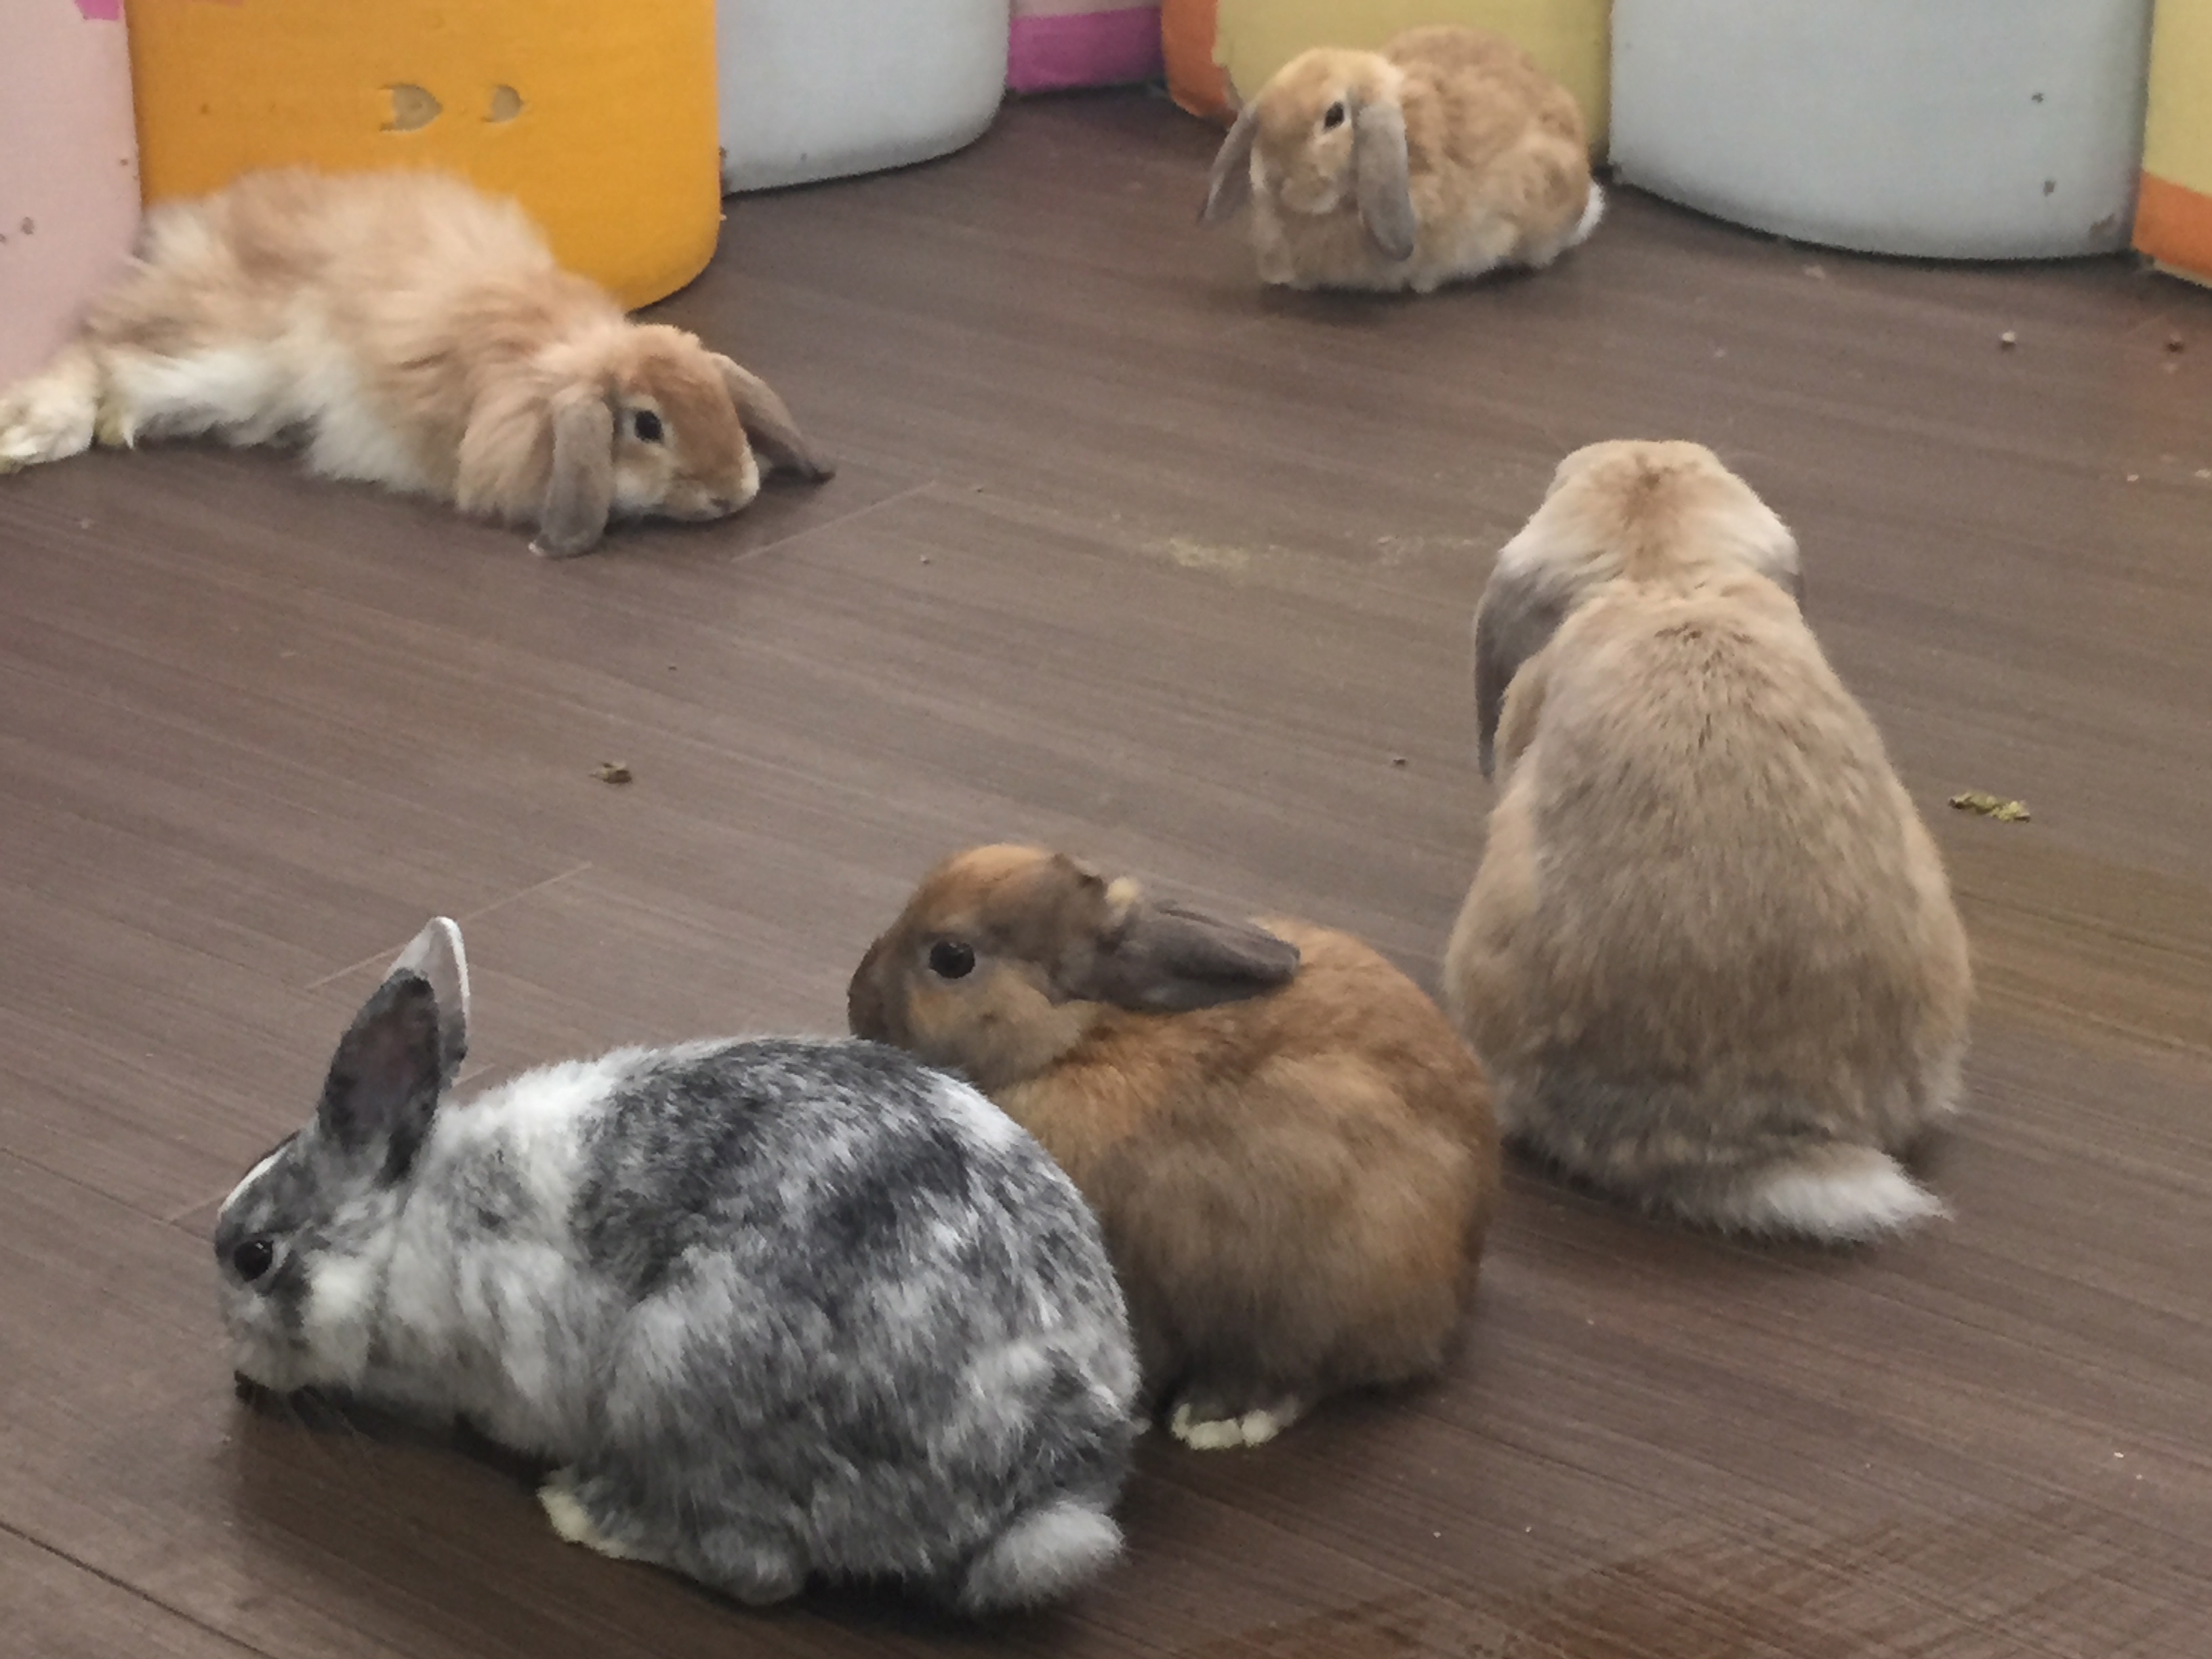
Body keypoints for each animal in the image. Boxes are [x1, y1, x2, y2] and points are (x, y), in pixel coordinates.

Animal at [0, 167, 832, 556]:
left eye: (724, 409)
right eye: (648, 426)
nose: (732, 493)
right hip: (223, 358)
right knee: (100, 353)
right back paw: (34, 435)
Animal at [214, 916, 1138, 1615]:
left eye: (255, 1257)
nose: (239, 1377)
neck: (406, 1227)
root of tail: (1050, 1480)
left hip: (677, 1375)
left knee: (762, 1571)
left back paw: (584, 1511)